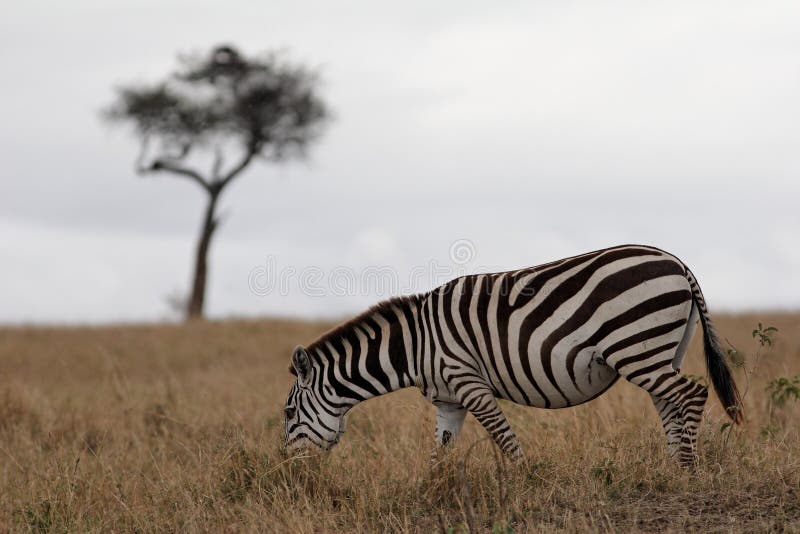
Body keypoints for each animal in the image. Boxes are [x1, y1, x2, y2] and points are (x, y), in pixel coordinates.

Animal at [283, 244, 742, 467]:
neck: (415, 347)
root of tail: (678, 263)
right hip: (661, 351)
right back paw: (673, 468)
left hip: (637, 348)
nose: (289, 471)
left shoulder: (469, 382)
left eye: (288, 414)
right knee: (669, 403)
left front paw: (526, 483)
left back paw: (689, 469)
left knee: (693, 394)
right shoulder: (449, 401)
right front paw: (432, 494)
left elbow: (505, 441)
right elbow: (439, 456)